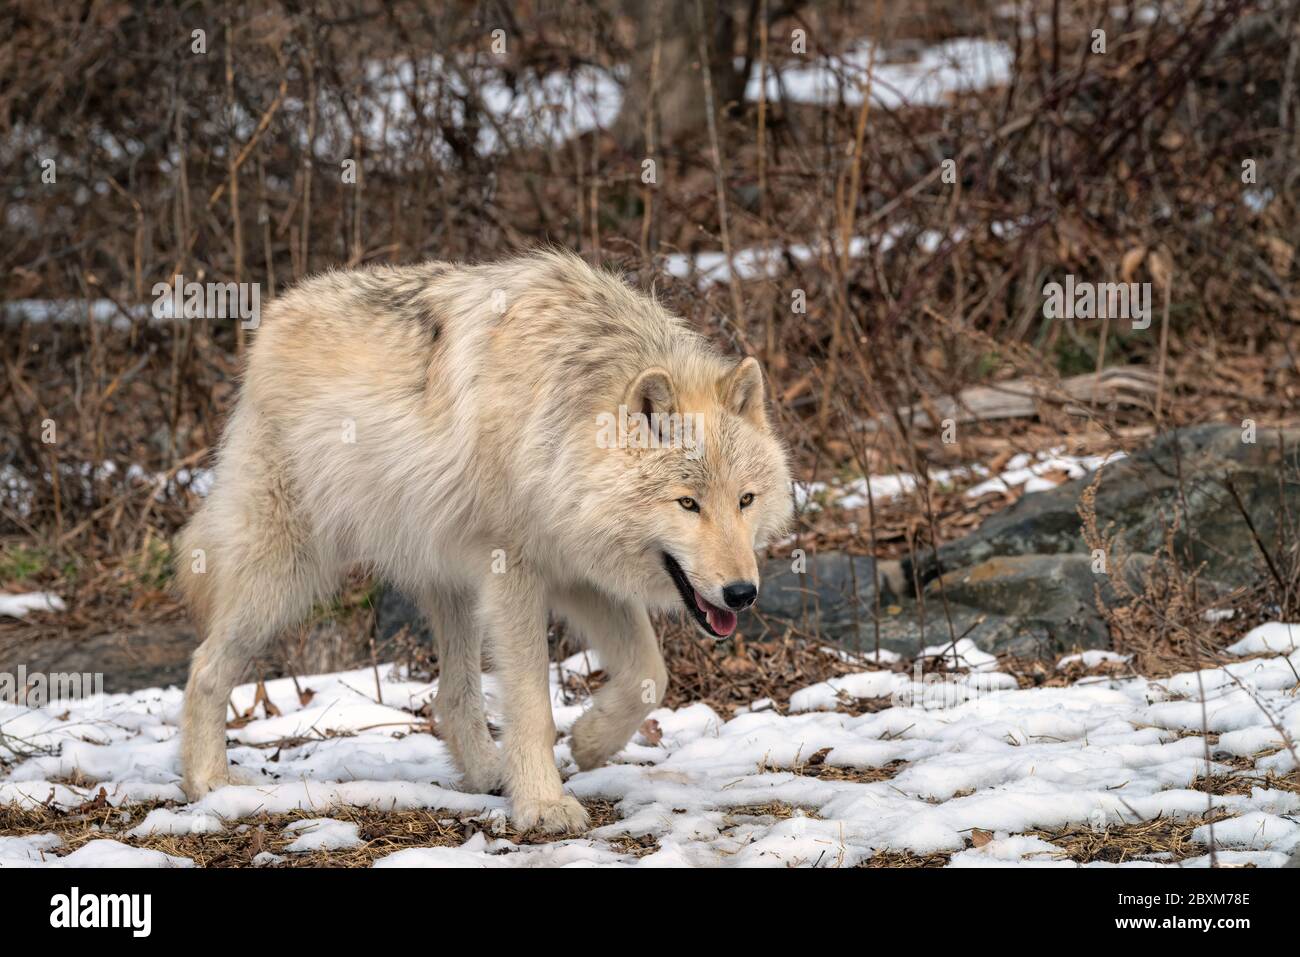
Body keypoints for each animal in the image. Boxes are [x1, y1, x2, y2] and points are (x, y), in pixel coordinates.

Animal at [175, 249, 793, 832]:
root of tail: (274, 315)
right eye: (688, 504)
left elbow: (649, 675)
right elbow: (533, 706)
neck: (565, 417)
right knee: (205, 666)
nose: (742, 594)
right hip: (283, 577)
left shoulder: (578, 570)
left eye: (745, 500)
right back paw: (208, 783)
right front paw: (545, 805)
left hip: (451, 587)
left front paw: (589, 743)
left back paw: (487, 774)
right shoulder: (515, 571)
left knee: (451, 697)